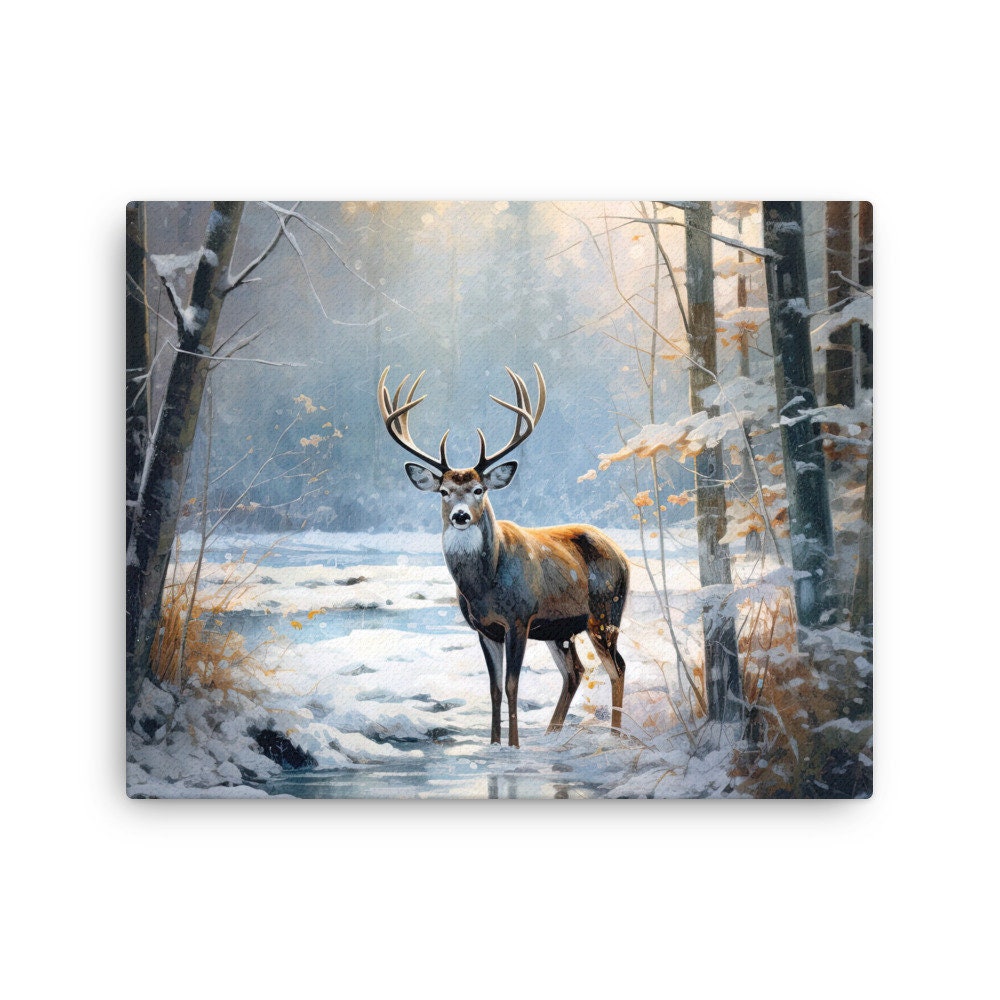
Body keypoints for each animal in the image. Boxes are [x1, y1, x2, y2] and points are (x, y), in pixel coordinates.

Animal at [377, 363, 630, 748]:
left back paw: (615, 736)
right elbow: (494, 688)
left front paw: (513, 745)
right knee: (576, 671)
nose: (460, 516)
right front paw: (494, 744)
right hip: (561, 629)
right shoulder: (484, 628)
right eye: (444, 491)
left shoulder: (519, 618)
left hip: (604, 612)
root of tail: (623, 555)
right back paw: (552, 733)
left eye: (479, 489)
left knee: (616, 667)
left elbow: (512, 685)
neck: (485, 586)